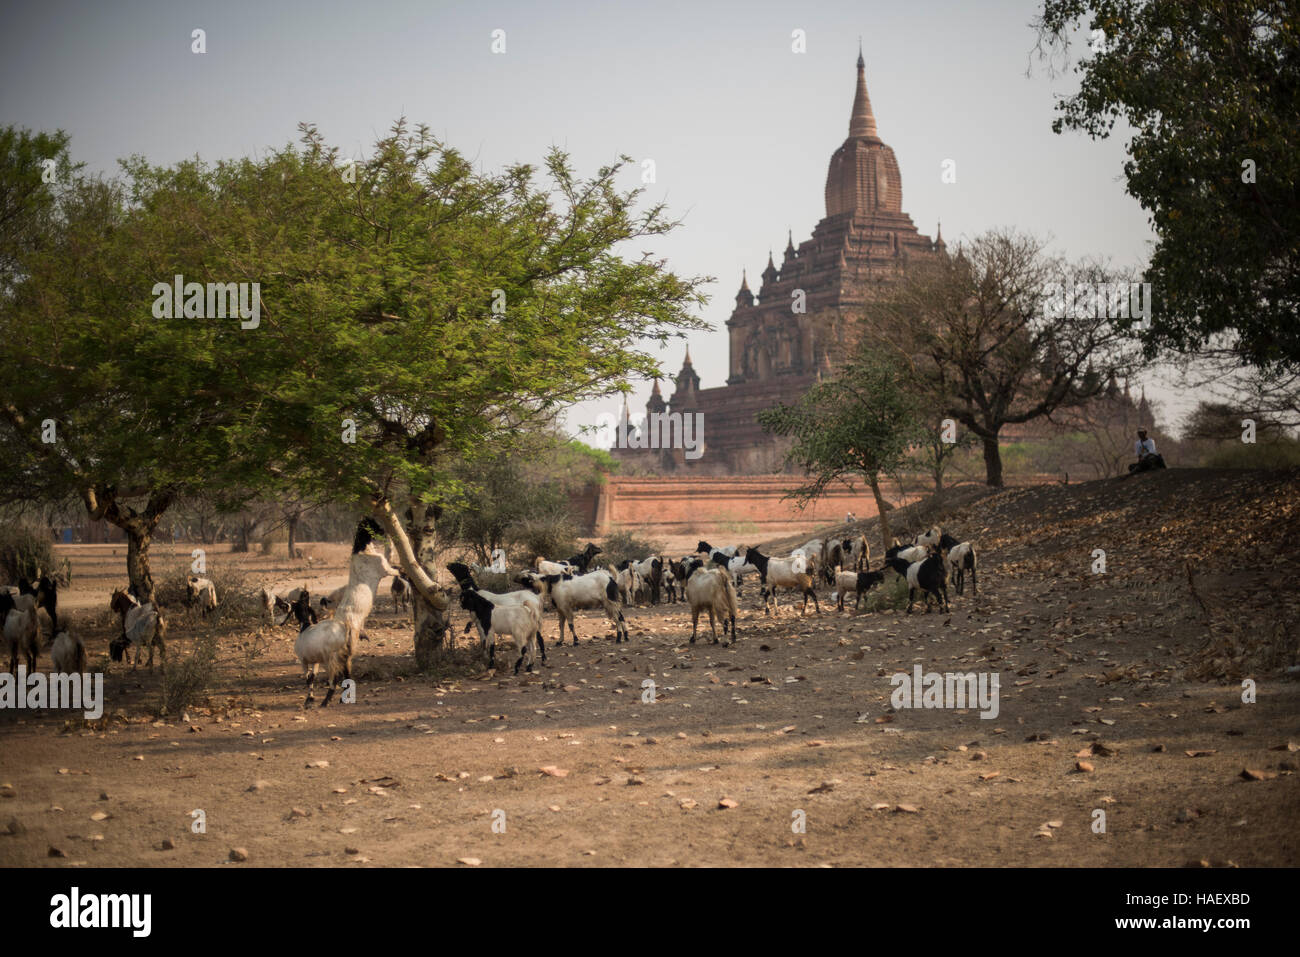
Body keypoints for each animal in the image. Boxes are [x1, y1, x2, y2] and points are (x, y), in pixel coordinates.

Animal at [294, 540, 397, 707]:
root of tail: (344, 627)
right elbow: (312, 677)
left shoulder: (305, 660)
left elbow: (309, 678)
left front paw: (310, 699)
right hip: (344, 654)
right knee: (346, 675)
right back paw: (341, 698)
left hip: (332, 658)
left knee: (335, 678)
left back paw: (327, 701)